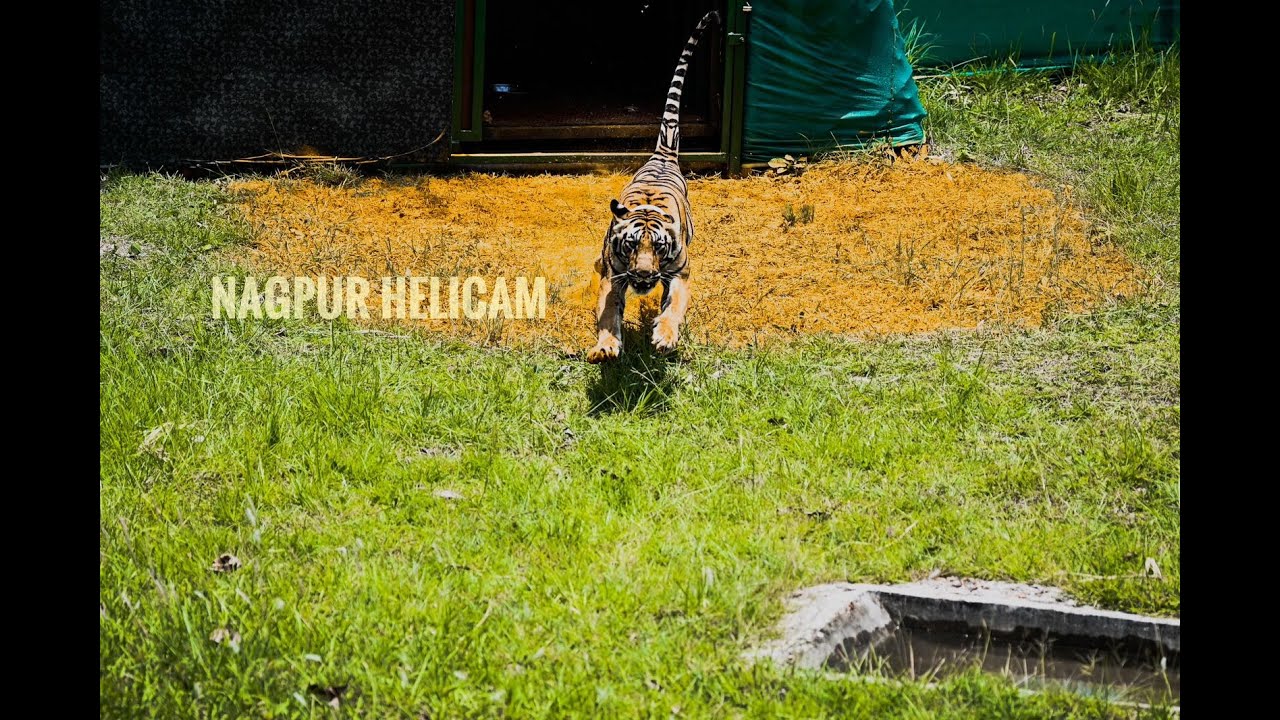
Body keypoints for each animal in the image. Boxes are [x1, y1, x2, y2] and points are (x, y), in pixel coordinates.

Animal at [586, 10, 720, 364]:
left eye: (658, 247)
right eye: (632, 245)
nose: (645, 276)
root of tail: (663, 154)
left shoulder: (681, 274)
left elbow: (673, 308)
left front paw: (665, 337)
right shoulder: (614, 276)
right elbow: (608, 314)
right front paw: (605, 346)